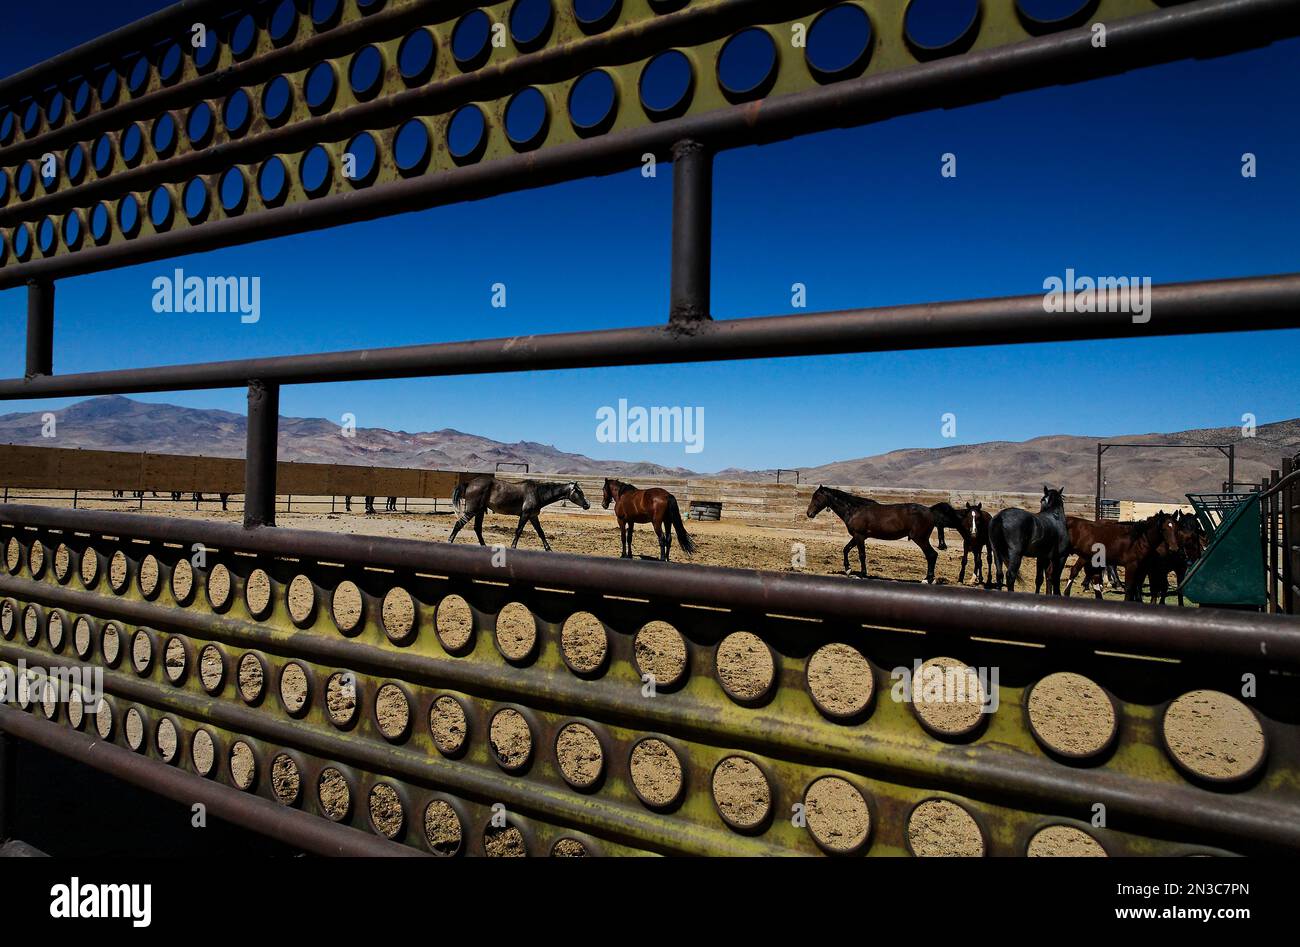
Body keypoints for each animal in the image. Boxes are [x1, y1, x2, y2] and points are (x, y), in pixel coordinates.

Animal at [449, 475, 590, 551]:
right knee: (459, 524)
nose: (587, 505)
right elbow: (518, 531)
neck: (537, 493)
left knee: (477, 528)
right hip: (473, 510)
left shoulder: (533, 516)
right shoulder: (525, 514)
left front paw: (549, 549)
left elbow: (541, 533)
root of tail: (469, 483)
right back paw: (450, 542)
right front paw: (513, 547)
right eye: (579, 492)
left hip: (479, 511)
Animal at [806, 486, 939, 583]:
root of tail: (930, 511)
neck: (854, 510)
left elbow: (862, 555)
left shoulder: (859, 536)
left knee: (932, 555)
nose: (809, 513)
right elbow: (846, 549)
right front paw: (848, 570)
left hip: (920, 539)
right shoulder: (857, 536)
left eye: (817, 497)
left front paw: (862, 574)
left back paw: (927, 579)